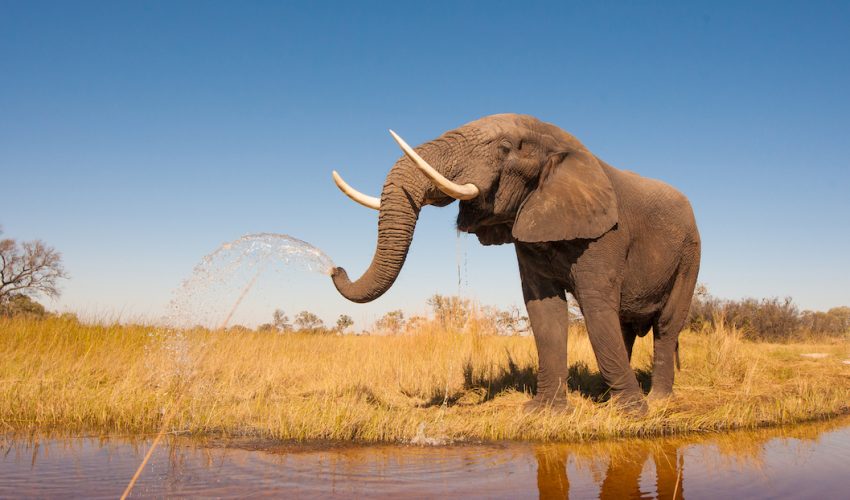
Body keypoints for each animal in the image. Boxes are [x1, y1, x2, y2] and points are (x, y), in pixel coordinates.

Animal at [330, 114, 700, 413]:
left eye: (505, 148)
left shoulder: (607, 234)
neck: (562, 144)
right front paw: (543, 412)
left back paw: (656, 401)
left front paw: (632, 414)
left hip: (690, 255)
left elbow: (596, 307)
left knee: (665, 325)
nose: (336, 268)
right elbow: (544, 310)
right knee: (624, 326)